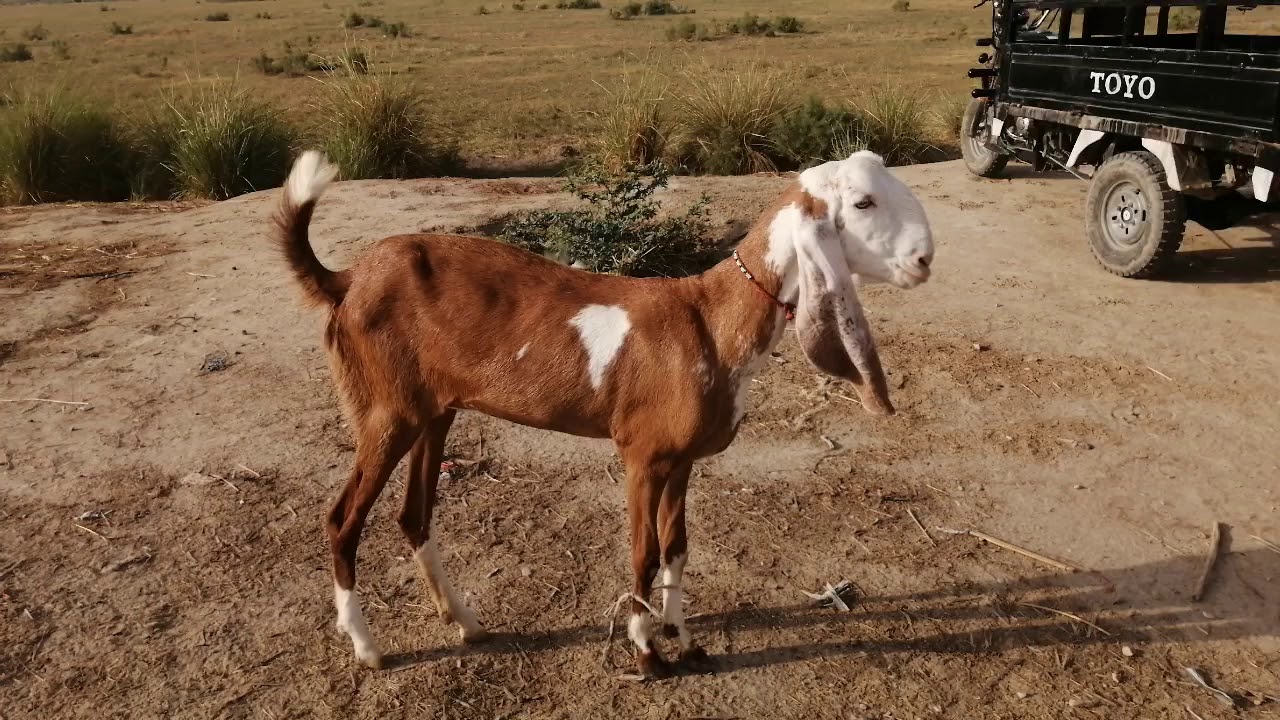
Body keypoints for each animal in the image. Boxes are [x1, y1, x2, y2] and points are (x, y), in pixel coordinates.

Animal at [273, 149, 934, 677]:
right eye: (863, 202)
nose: (925, 260)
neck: (710, 319)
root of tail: (348, 279)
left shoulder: (682, 459)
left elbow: (677, 547)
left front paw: (684, 641)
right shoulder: (641, 454)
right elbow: (642, 553)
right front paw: (646, 654)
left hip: (434, 411)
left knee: (414, 514)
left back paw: (465, 621)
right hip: (385, 411)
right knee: (342, 520)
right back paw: (367, 648)